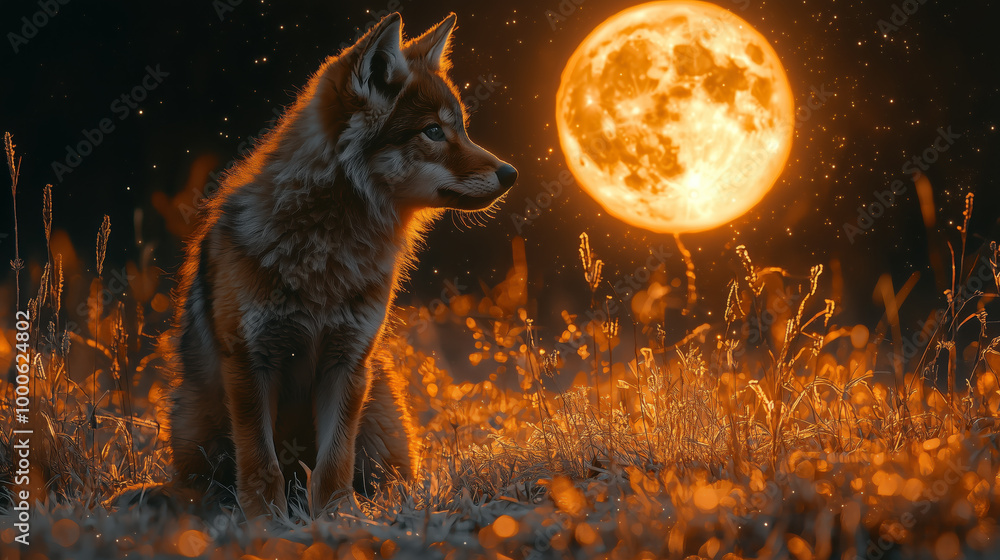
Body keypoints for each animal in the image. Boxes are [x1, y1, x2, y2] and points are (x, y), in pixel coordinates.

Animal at [165, 12, 516, 518]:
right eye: (433, 131)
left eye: (463, 130)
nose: (511, 173)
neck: (326, 255)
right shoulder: (251, 363)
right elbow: (261, 464)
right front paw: (264, 523)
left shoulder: (346, 361)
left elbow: (334, 463)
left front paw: (338, 520)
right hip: (194, 426)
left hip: (382, 415)